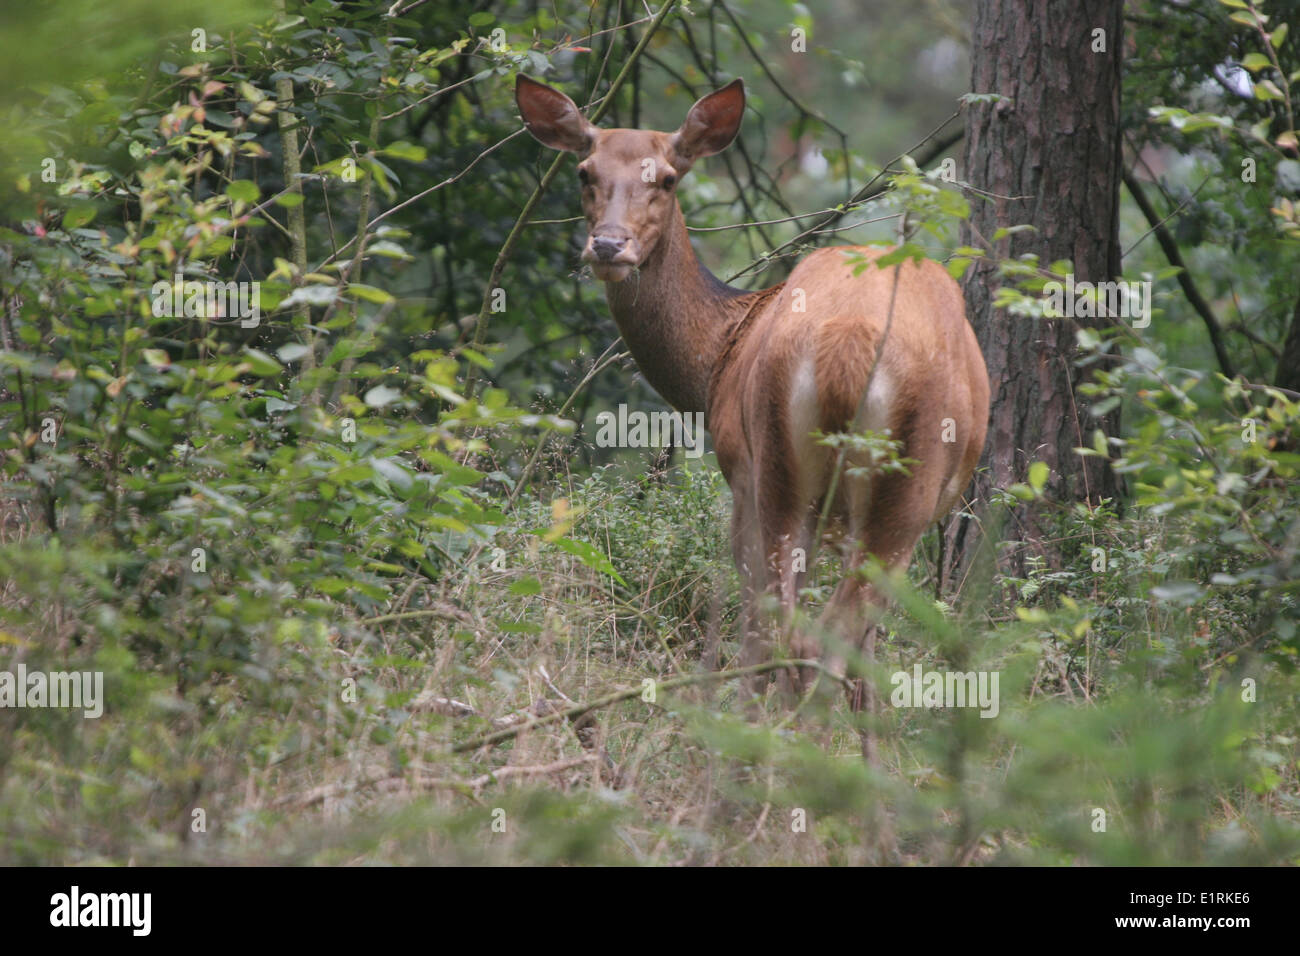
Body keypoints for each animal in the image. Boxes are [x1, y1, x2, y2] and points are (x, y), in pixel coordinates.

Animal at [516, 74, 989, 757]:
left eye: (667, 179)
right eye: (585, 170)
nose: (607, 244)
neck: (719, 356)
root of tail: (846, 340)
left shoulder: (744, 471)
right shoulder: (744, 472)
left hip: (800, 474)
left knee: (802, 634)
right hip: (866, 483)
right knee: (807, 637)